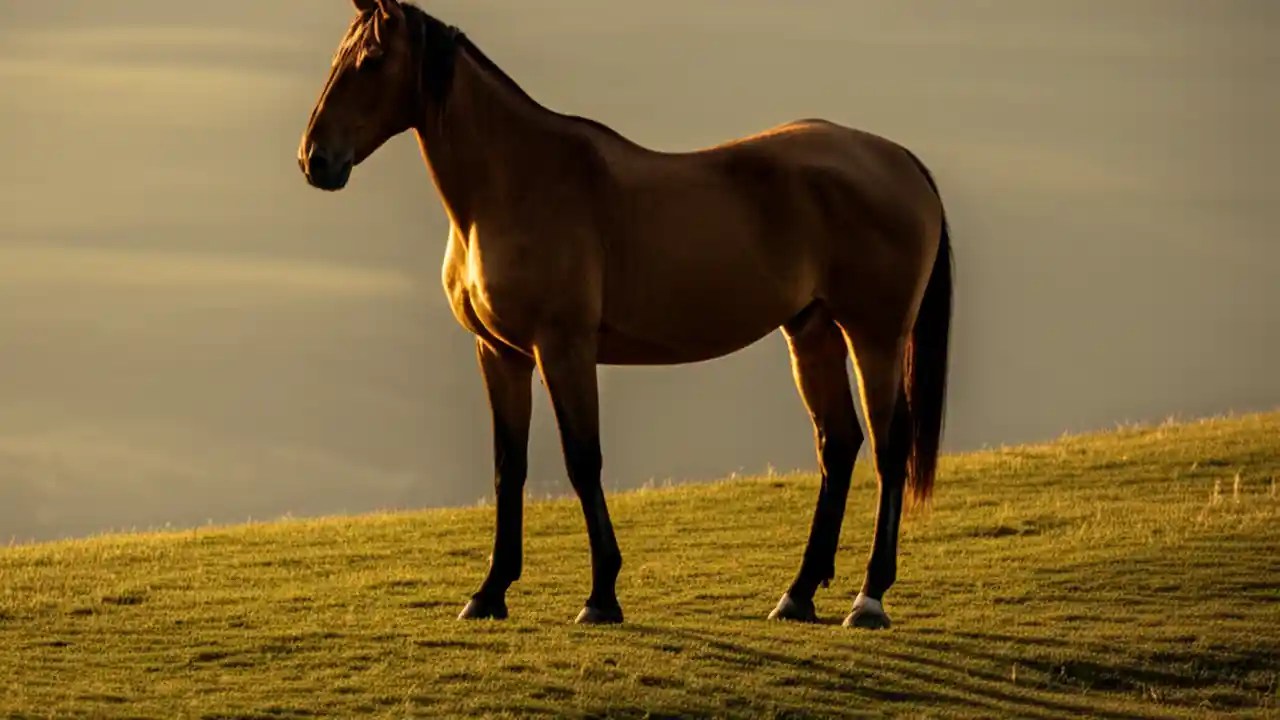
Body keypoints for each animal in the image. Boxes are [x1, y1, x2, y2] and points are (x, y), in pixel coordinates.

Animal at [299, 0, 952, 629]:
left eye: (372, 61)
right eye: (338, 59)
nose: (315, 160)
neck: (515, 184)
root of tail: (899, 160)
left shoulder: (563, 349)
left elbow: (583, 461)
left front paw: (601, 597)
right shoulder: (501, 354)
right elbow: (509, 467)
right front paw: (489, 593)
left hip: (875, 337)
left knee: (889, 448)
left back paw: (868, 599)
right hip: (812, 332)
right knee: (838, 444)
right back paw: (797, 595)